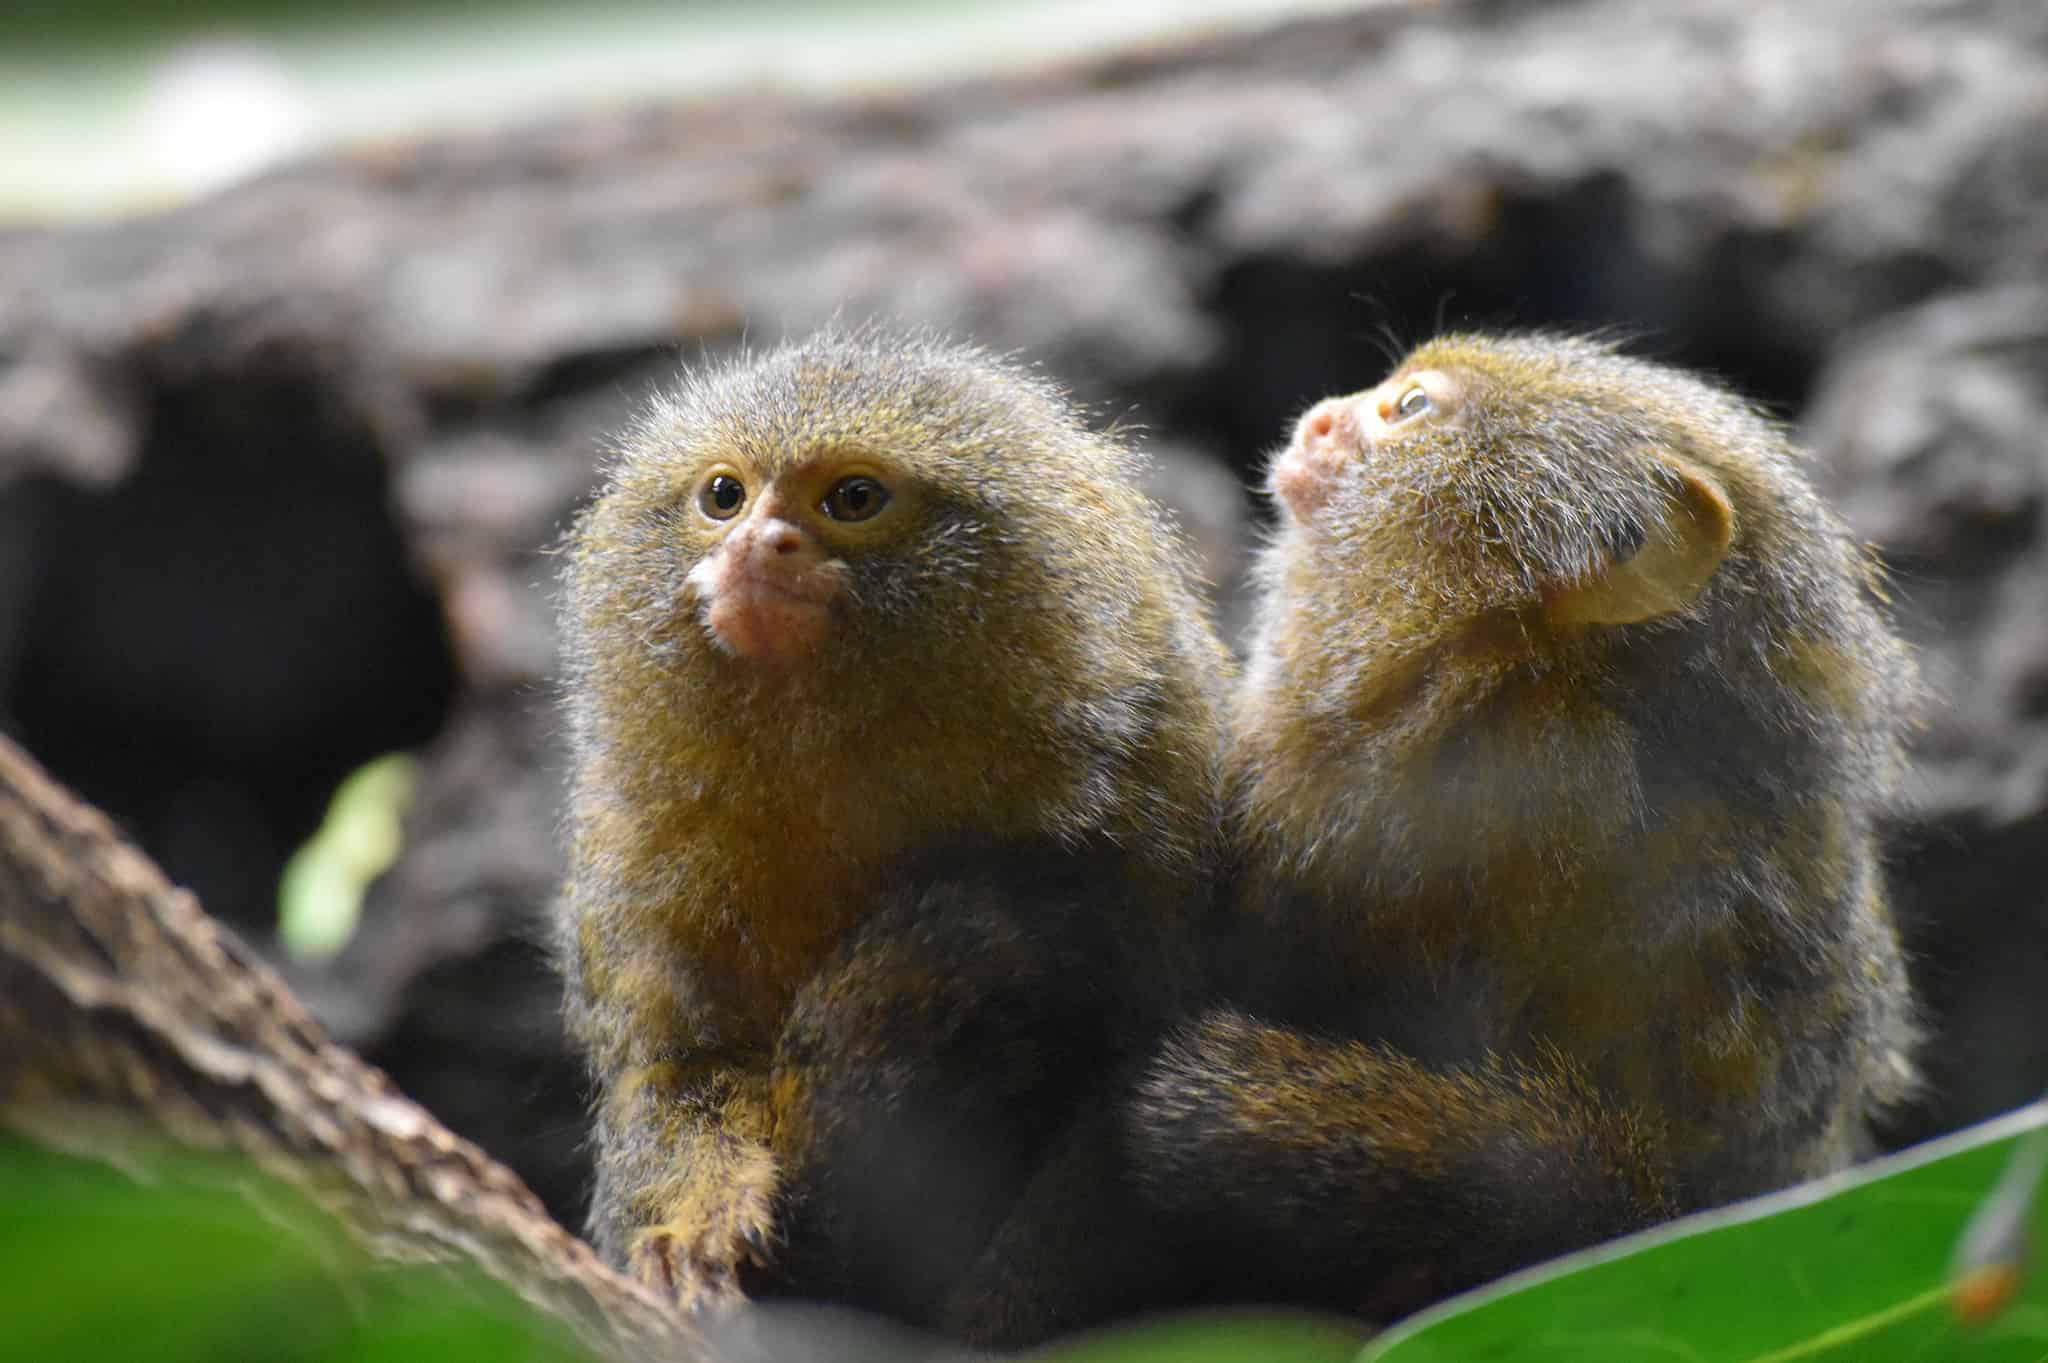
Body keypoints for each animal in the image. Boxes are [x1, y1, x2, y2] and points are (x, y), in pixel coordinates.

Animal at [552, 325, 1233, 1345]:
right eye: (724, 496)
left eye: (852, 499)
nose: (758, 542)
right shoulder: (633, 836)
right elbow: (673, 1070)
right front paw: (699, 1228)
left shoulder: (1155, 796)